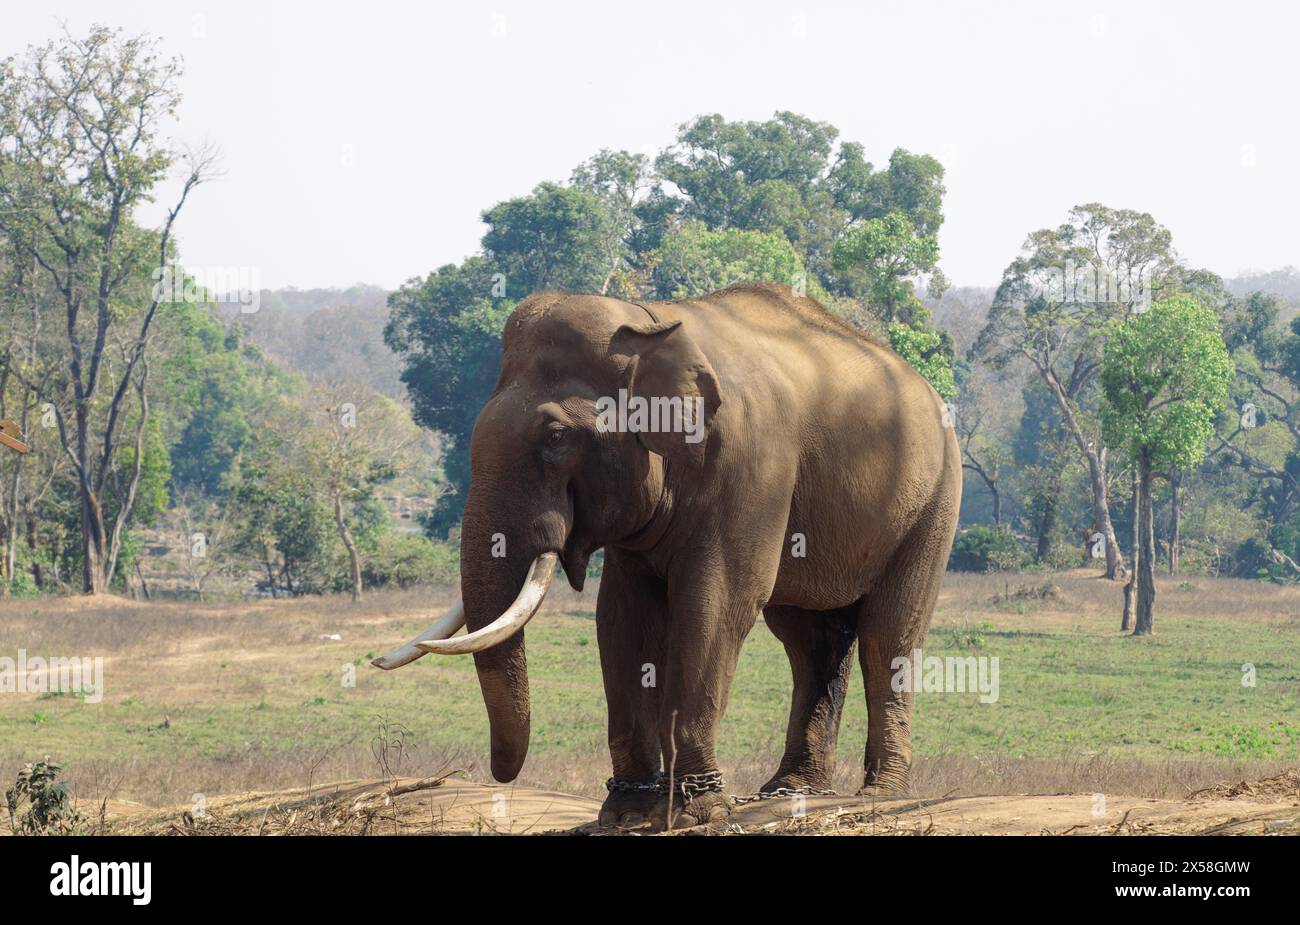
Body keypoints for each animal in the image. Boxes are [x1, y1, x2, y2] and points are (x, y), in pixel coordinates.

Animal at [374, 282, 961, 830]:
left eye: (556, 435)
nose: (500, 775)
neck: (649, 325)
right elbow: (621, 616)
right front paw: (625, 814)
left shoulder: (752, 466)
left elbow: (717, 604)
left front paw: (693, 813)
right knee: (809, 640)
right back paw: (790, 791)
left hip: (934, 503)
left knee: (888, 634)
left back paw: (880, 793)